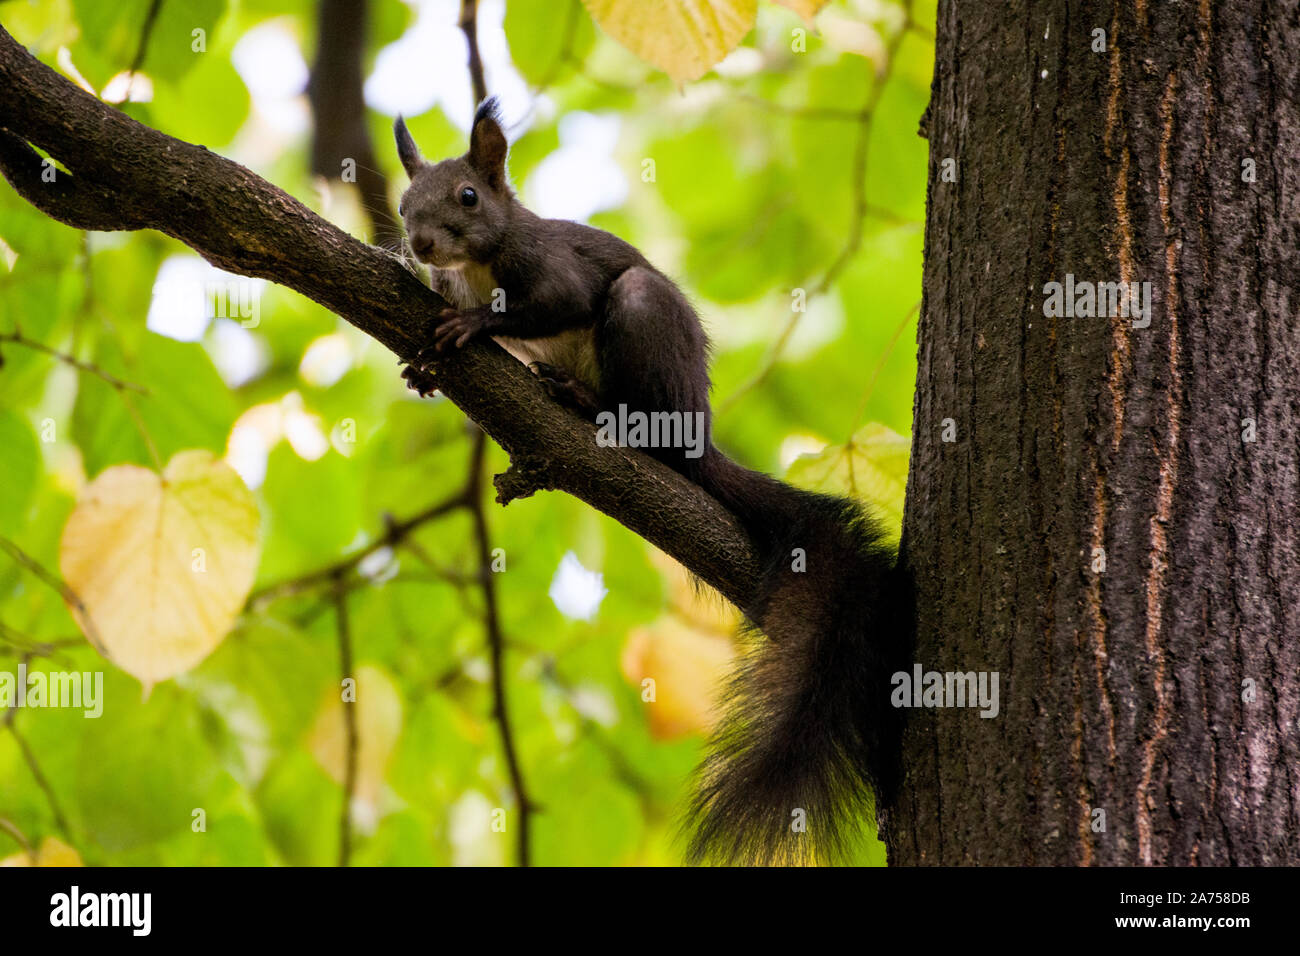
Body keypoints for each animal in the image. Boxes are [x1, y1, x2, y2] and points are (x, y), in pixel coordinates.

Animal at [393, 98, 907, 866]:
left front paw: (474, 325)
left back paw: (592, 406)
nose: (421, 244)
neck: (478, 265)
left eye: (468, 196)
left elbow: (548, 305)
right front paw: (425, 370)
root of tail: (700, 435)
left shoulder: (551, 269)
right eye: (403, 204)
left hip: (645, 326)